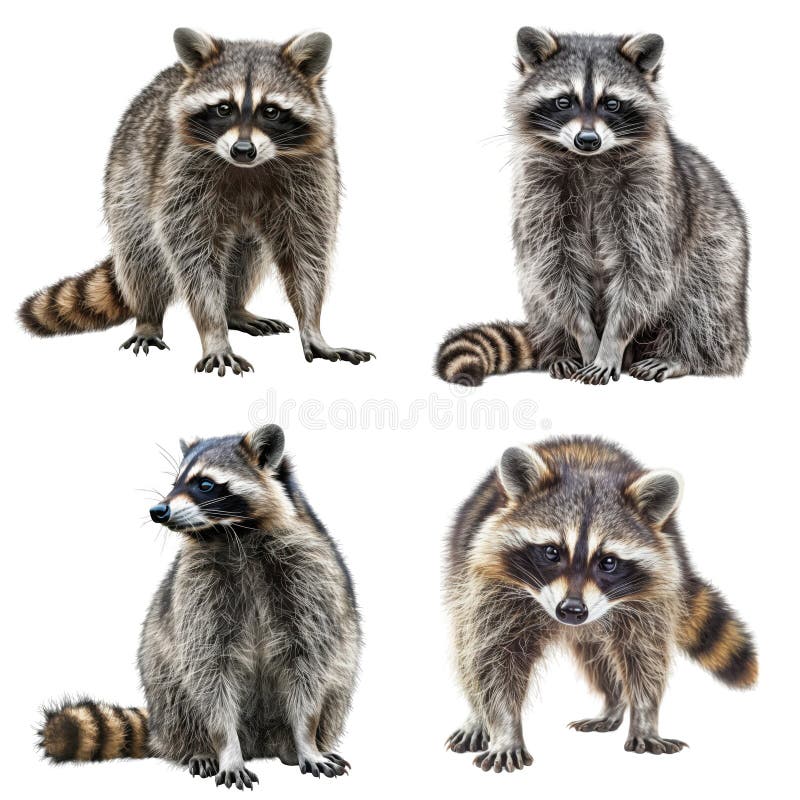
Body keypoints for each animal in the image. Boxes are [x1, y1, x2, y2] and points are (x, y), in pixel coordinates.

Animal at [19, 29, 373, 375]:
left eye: (271, 111)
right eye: (223, 108)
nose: (242, 150)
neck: (247, 169)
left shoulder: (311, 177)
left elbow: (305, 252)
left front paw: (312, 326)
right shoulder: (182, 178)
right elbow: (195, 260)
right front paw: (214, 333)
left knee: (246, 257)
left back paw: (234, 308)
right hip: (127, 183)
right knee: (141, 254)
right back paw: (149, 317)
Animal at [39, 424, 361, 787]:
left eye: (205, 484)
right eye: (174, 483)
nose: (158, 511)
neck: (233, 533)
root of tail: (261, 743)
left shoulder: (308, 577)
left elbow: (307, 663)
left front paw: (307, 739)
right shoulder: (196, 591)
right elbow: (207, 669)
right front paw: (226, 749)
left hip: (337, 680)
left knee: (335, 685)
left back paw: (292, 747)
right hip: (163, 689)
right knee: (178, 696)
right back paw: (200, 748)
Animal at [436, 30, 748, 386]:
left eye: (611, 103)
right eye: (564, 101)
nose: (587, 139)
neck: (590, 160)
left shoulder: (652, 196)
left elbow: (643, 270)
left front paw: (610, 343)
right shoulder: (538, 193)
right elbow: (554, 266)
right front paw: (585, 340)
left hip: (719, 265)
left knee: (701, 304)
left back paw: (678, 355)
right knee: (540, 295)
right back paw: (560, 350)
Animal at [445, 437, 757, 772]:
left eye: (608, 562)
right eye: (552, 552)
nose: (571, 610)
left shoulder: (651, 599)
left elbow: (645, 657)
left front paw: (645, 716)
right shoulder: (492, 587)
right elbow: (492, 658)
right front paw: (504, 729)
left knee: (603, 657)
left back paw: (614, 704)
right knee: (466, 645)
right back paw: (477, 718)